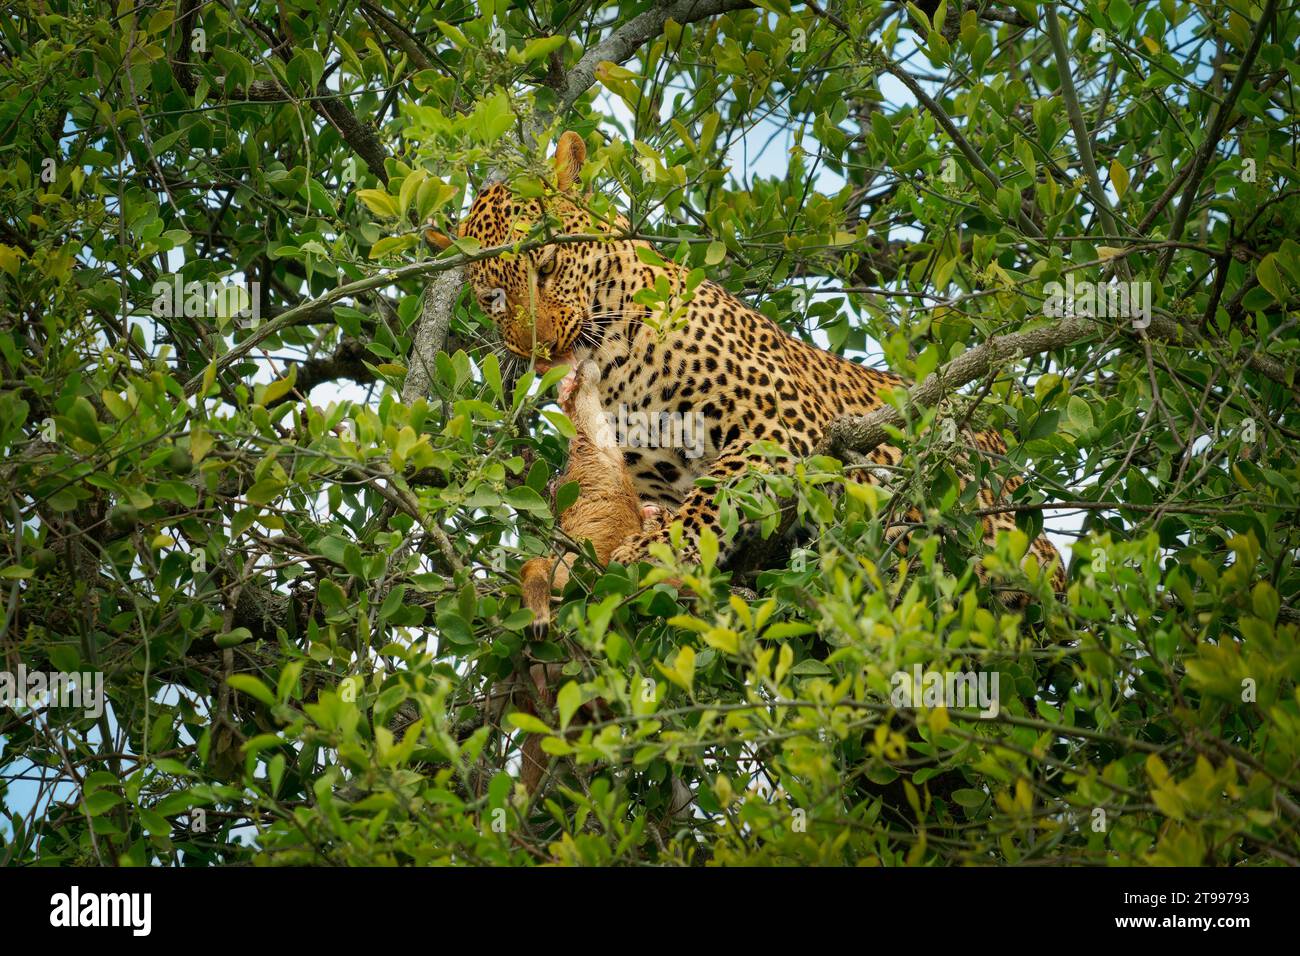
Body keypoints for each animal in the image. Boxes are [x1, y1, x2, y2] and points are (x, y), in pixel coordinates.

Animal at [427, 130, 1067, 601]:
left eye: (548, 264)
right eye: (492, 298)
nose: (538, 349)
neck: (609, 364)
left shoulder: (779, 419)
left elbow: (715, 492)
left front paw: (654, 550)